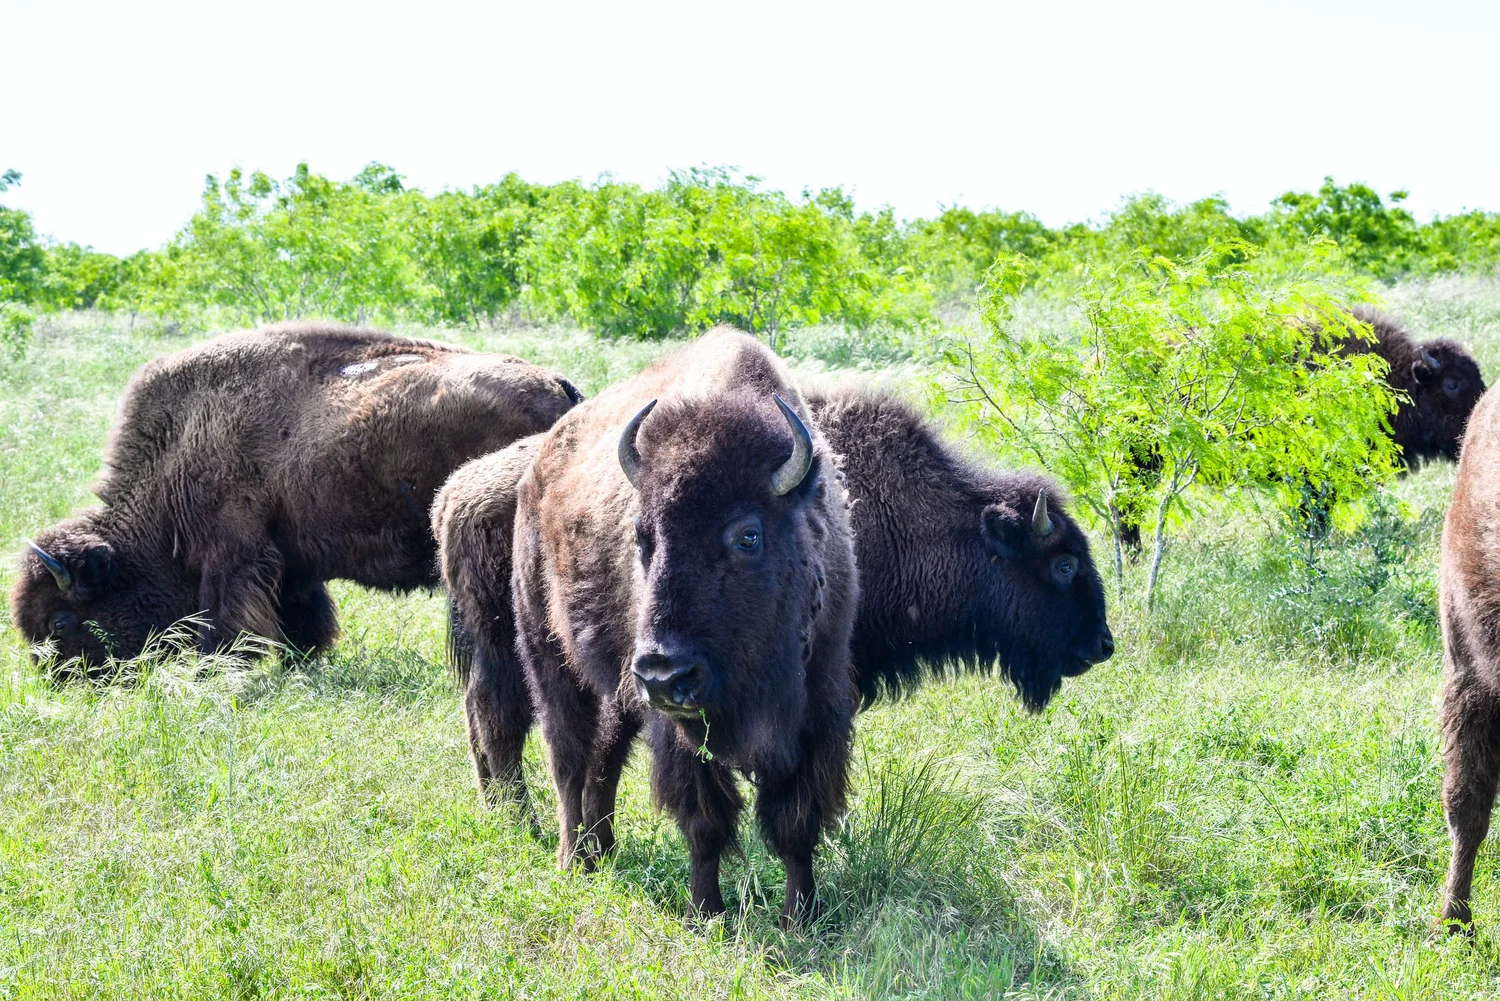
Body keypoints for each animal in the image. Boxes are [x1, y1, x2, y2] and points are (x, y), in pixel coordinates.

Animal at [11, 322, 581, 671]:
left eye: (60, 620)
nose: (65, 681)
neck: (181, 443)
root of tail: (559, 386)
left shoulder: (233, 554)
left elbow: (226, 616)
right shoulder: (290, 561)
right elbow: (303, 612)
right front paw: (301, 659)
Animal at [509, 328, 858, 925]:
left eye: (747, 536)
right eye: (641, 536)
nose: (664, 674)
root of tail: (539, 468)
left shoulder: (819, 708)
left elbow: (796, 822)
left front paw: (801, 915)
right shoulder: (681, 732)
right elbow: (705, 821)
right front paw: (707, 912)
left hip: (620, 690)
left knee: (604, 758)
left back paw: (602, 853)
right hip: (549, 655)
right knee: (568, 758)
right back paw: (572, 861)